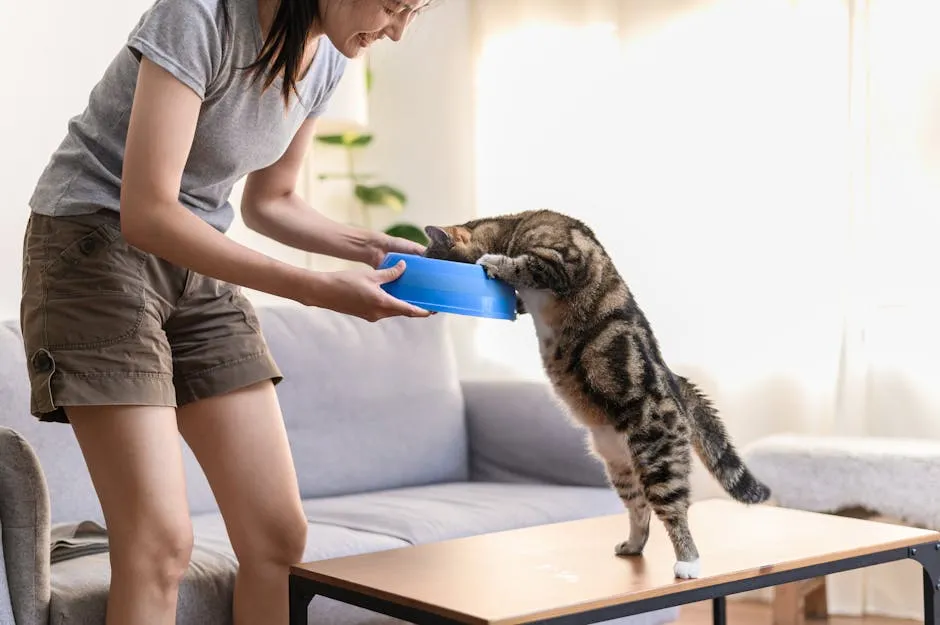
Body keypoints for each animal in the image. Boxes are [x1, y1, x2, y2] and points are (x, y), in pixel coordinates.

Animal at [426, 211, 772, 580]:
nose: (432, 311)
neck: (512, 227)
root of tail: (675, 382)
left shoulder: (564, 261)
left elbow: (525, 265)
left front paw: (495, 264)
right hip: (620, 468)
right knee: (640, 510)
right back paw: (633, 545)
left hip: (659, 461)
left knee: (674, 511)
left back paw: (688, 562)